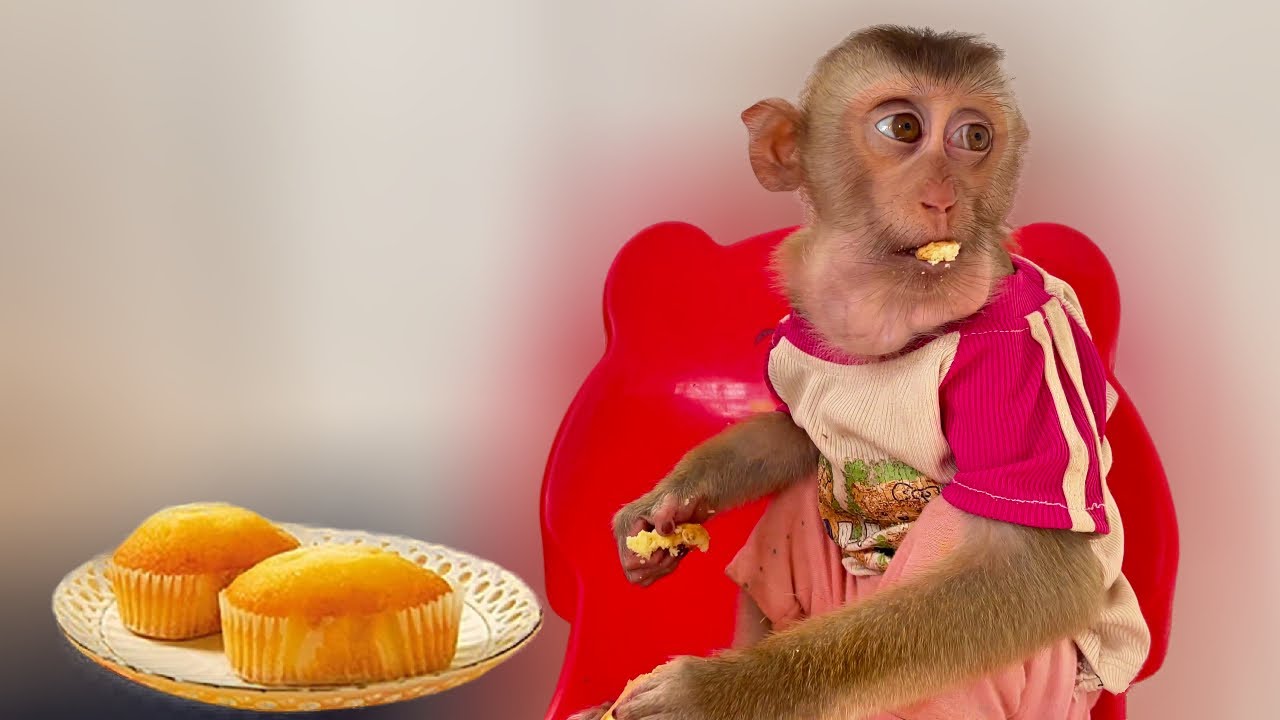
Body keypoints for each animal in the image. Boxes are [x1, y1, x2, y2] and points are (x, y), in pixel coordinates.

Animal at [570, 25, 1150, 720]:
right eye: (902, 127)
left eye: (974, 138)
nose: (944, 198)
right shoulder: (793, 331)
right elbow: (793, 434)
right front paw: (662, 508)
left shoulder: (1029, 365)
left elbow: (1034, 566)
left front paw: (711, 694)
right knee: (794, 519)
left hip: (1045, 689)